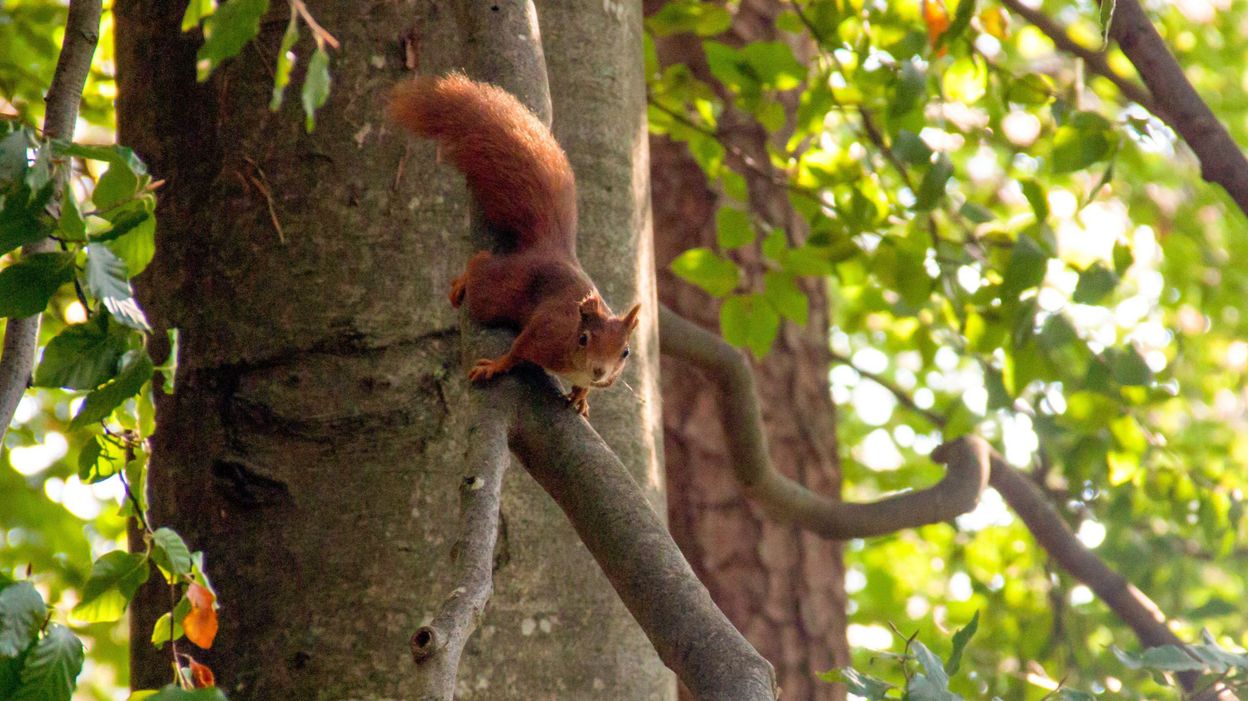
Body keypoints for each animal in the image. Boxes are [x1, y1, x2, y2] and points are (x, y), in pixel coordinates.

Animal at [387, 73, 640, 417]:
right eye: (584, 338)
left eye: (625, 351)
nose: (599, 371)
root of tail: (550, 249)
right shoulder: (544, 332)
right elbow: (517, 350)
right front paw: (495, 366)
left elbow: (582, 388)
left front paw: (582, 396)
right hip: (496, 291)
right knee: (481, 267)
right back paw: (465, 278)